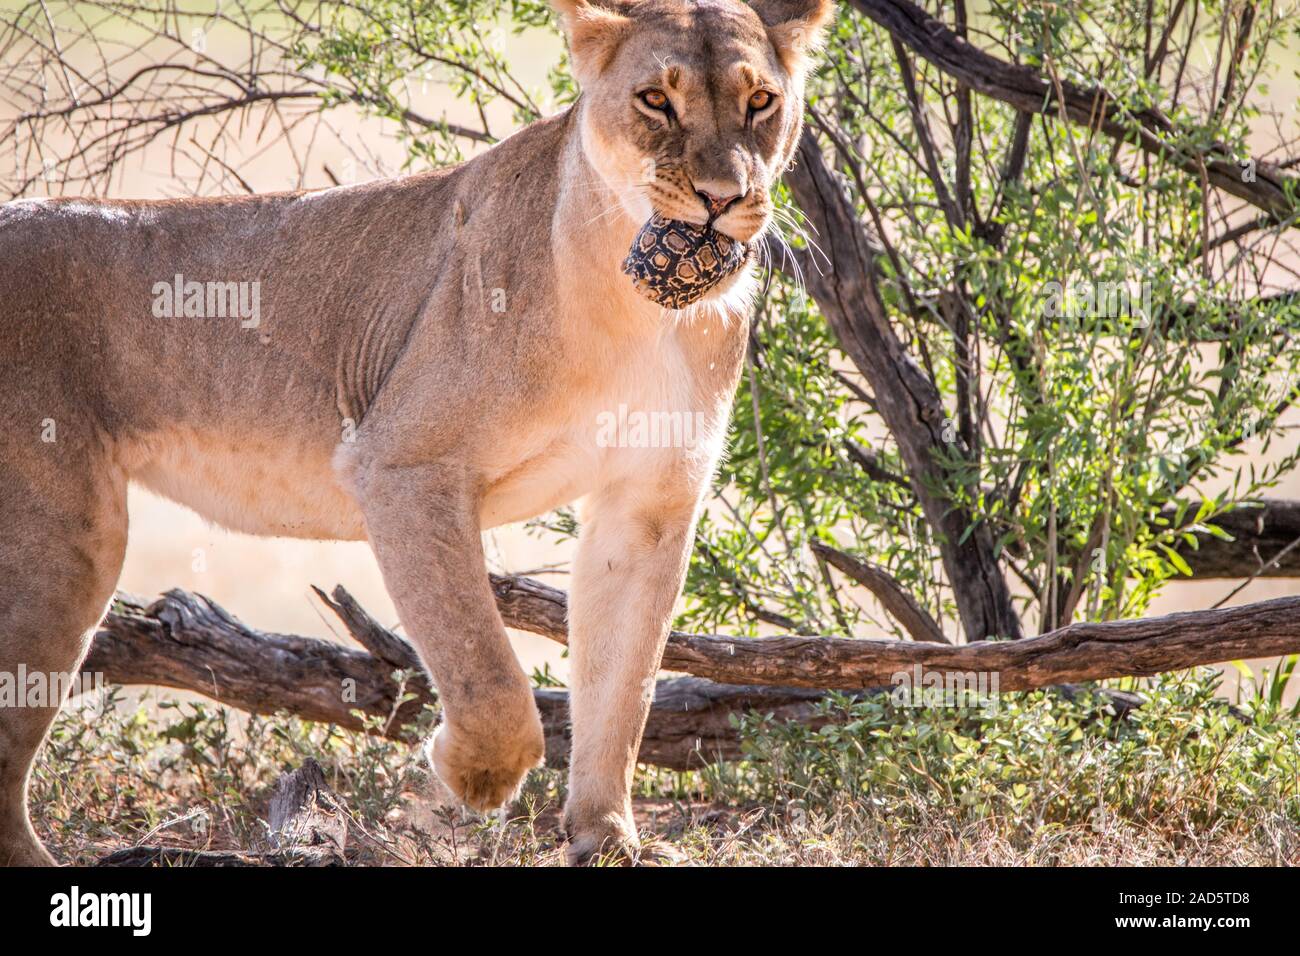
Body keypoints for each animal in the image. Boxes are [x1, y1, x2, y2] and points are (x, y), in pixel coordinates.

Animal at [0, 0, 833, 865]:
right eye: (654, 100)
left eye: (761, 102)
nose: (720, 198)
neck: (640, 310)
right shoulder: (402, 464)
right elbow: (486, 669)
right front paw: (463, 780)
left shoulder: (649, 501)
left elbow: (623, 686)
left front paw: (604, 837)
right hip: (61, 544)